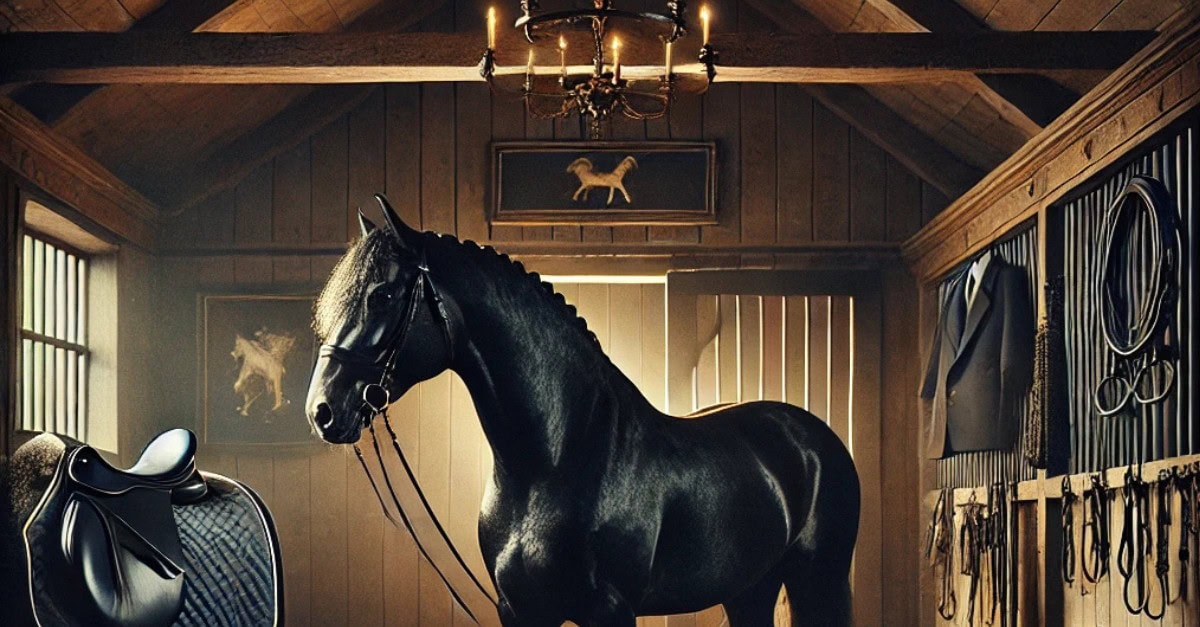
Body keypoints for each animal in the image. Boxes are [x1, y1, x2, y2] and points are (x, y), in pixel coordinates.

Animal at [305, 195, 860, 626]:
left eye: (382, 295)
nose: (322, 411)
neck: (555, 462)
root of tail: (812, 435)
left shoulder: (609, 611)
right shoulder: (520, 610)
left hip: (818, 582)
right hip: (750, 589)